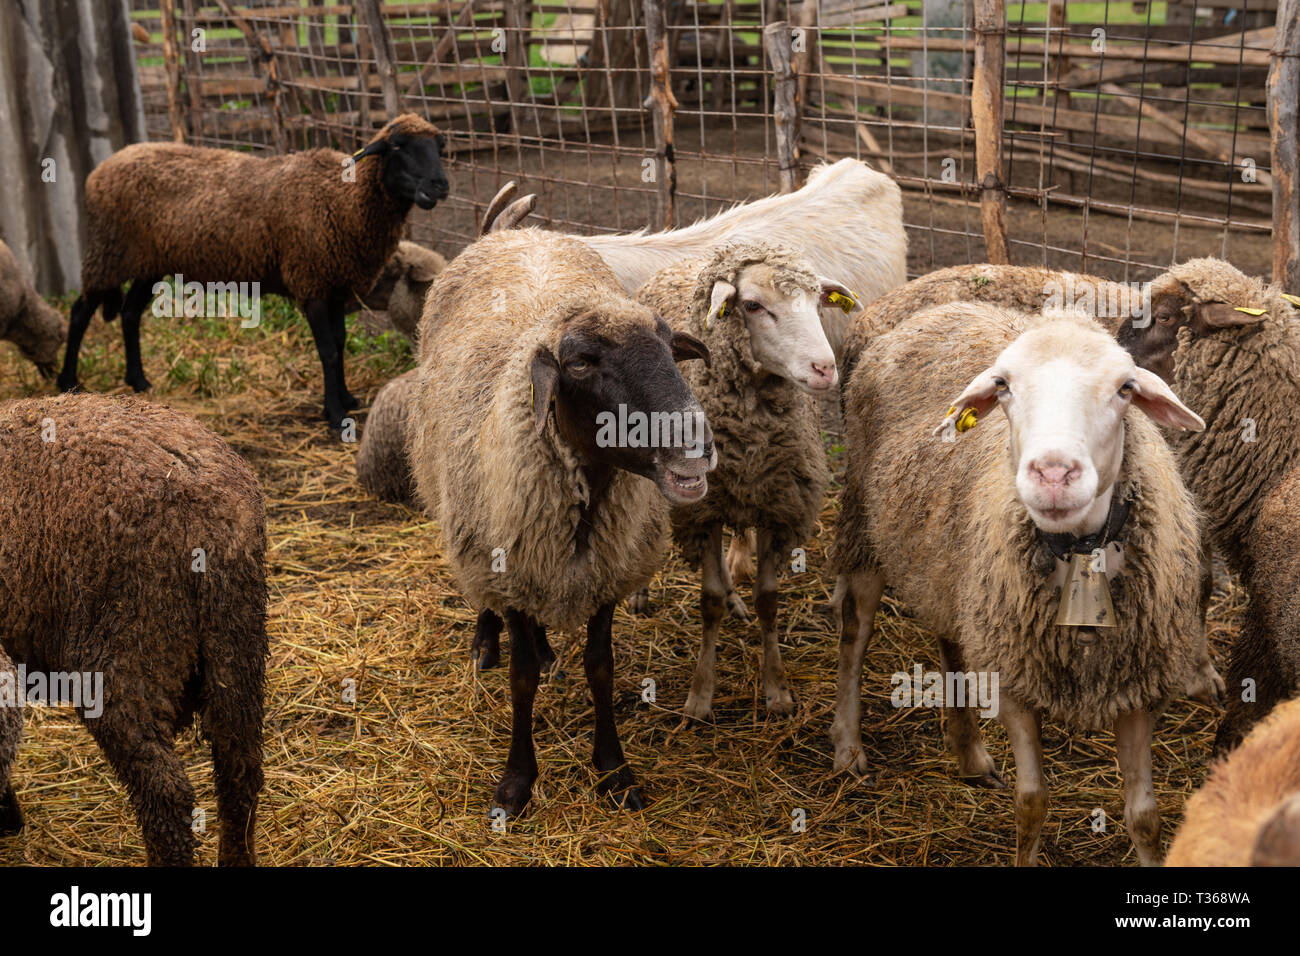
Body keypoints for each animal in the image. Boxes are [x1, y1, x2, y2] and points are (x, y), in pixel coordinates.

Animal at [58, 114, 448, 429]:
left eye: (440, 146)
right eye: (398, 146)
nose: (440, 185)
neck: (342, 199)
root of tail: (103, 167)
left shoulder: (334, 282)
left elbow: (340, 343)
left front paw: (347, 398)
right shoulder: (310, 281)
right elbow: (327, 350)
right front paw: (335, 415)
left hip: (149, 261)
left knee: (129, 313)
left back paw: (138, 380)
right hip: (107, 254)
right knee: (79, 313)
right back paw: (68, 382)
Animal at [408, 227, 715, 815]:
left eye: (671, 348)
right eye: (580, 363)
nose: (695, 442)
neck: (587, 497)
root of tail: (520, 231)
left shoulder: (608, 572)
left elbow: (601, 667)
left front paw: (614, 770)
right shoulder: (510, 567)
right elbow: (521, 678)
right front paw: (516, 783)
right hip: (472, 527)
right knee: (488, 602)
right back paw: (487, 642)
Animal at [632, 241, 856, 719]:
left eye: (817, 301)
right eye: (752, 305)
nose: (825, 368)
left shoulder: (777, 505)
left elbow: (768, 600)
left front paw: (778, 691)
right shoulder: (704, 510)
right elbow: (709, 602)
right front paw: (700, 696)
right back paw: (640, 594)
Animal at [833, 301, 1206, 865]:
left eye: (1125, 388)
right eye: (1004, 385)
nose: (1052, 474)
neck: (1079, 552)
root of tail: (940, 308)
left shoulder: (1139, 687)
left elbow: (1145, 817)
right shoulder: (1014, 683)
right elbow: (1032, 804)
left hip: (956, 574)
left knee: (952, 643)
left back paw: (969, 751)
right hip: (863, 523)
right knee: (855, 636)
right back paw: (848, 746)